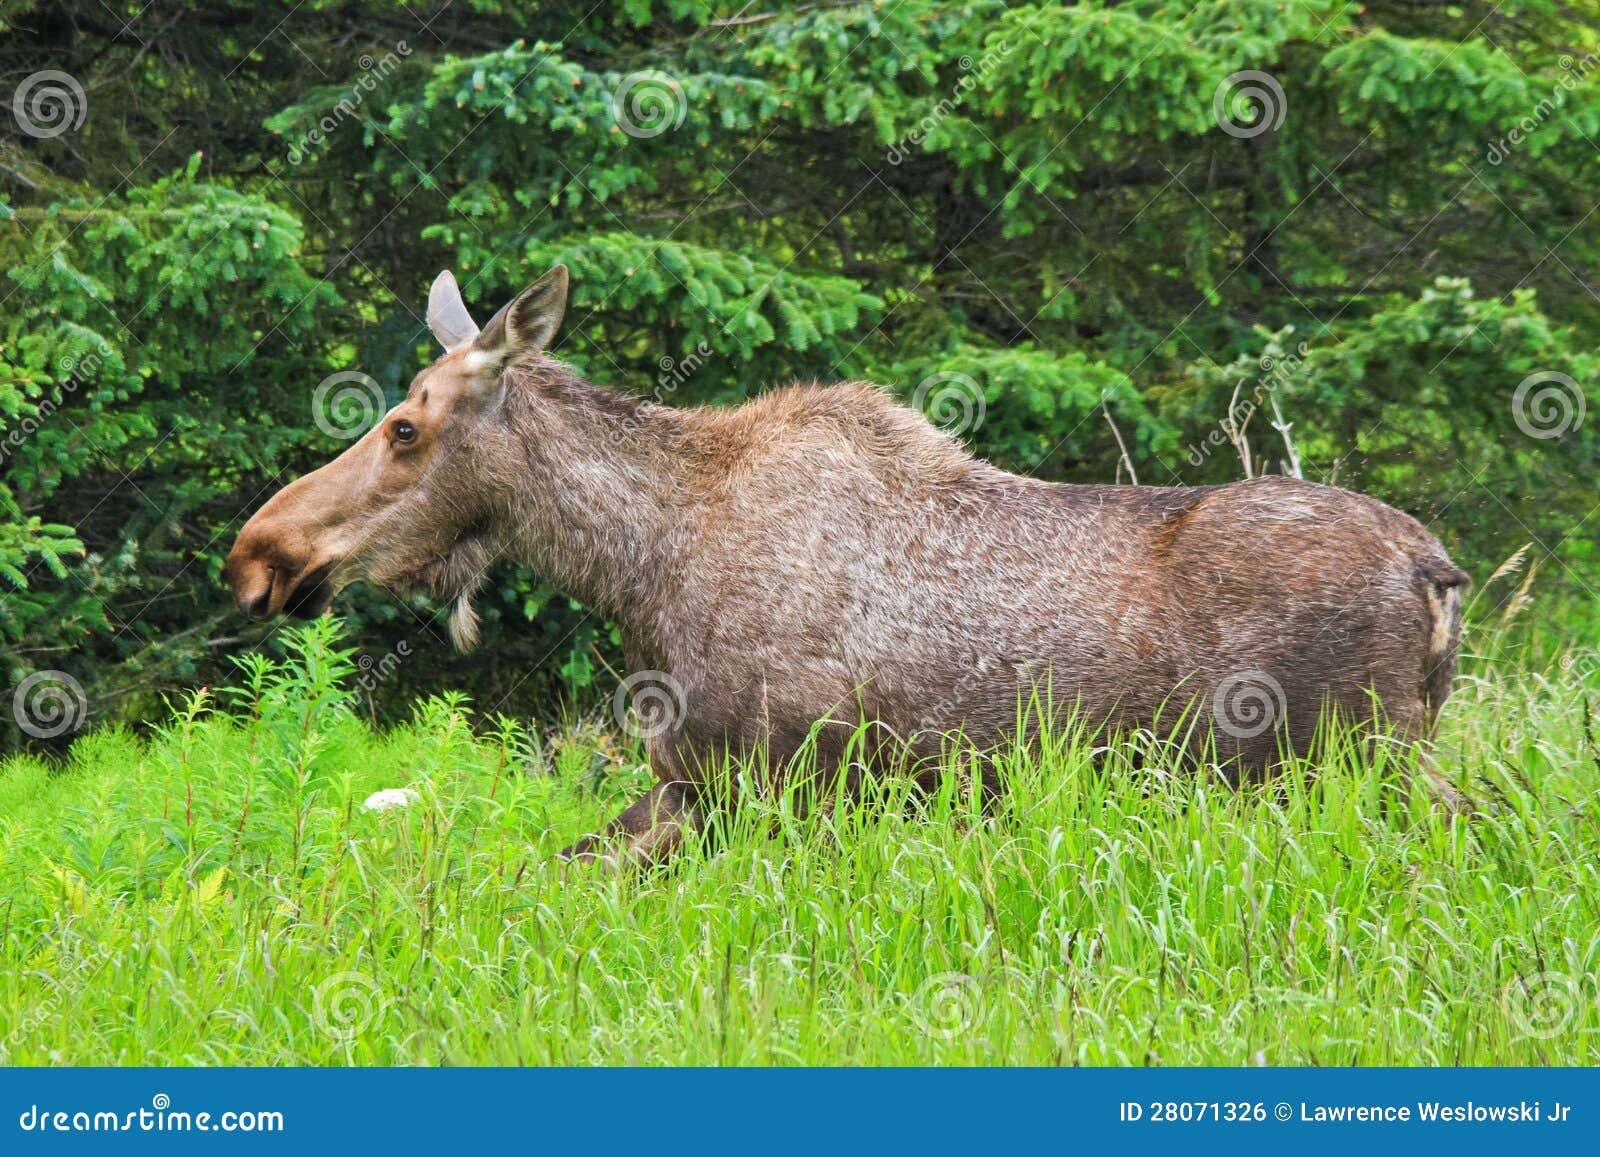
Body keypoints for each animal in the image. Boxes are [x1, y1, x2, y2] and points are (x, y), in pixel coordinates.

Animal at [227, 265, 1470, 867]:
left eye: (404, 426)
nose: (258, 551)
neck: (637, 569)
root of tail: (1435, 569)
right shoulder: (689, 782)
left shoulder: (785, 783)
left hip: (1347, 757)